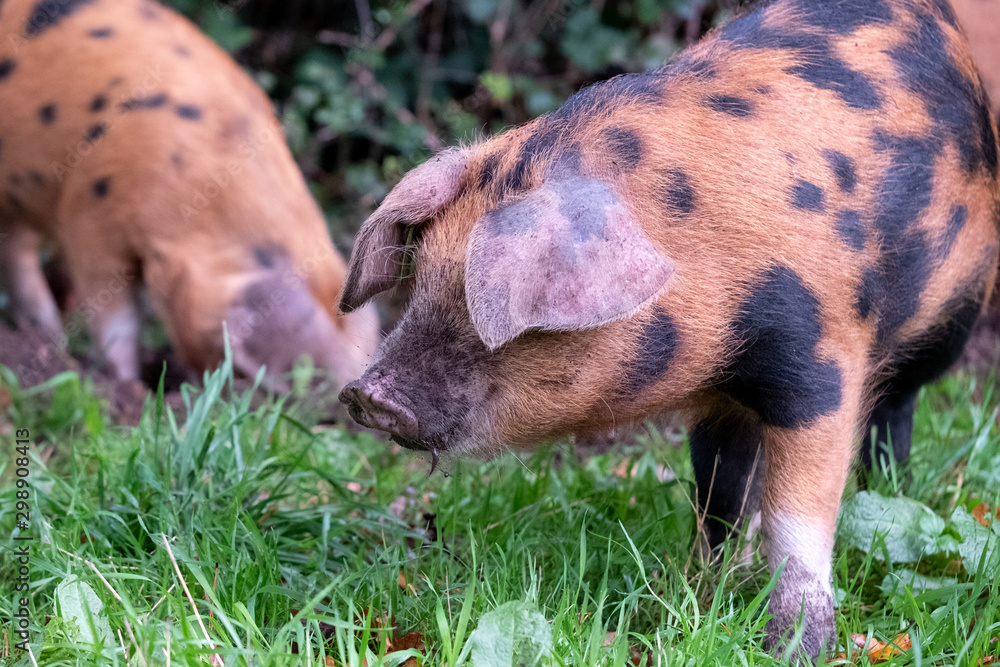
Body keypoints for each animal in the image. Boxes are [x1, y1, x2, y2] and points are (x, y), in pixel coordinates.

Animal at [338, 0, 1000, 658]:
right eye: (422, 277)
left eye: (491, 313)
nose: (367, 395)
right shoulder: (716, 395)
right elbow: (718, 493)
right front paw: (707, 593)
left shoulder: (822, 359)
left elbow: (798, 512)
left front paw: (791, 649)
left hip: (955, 314)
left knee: (898, 405)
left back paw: (890, 493)